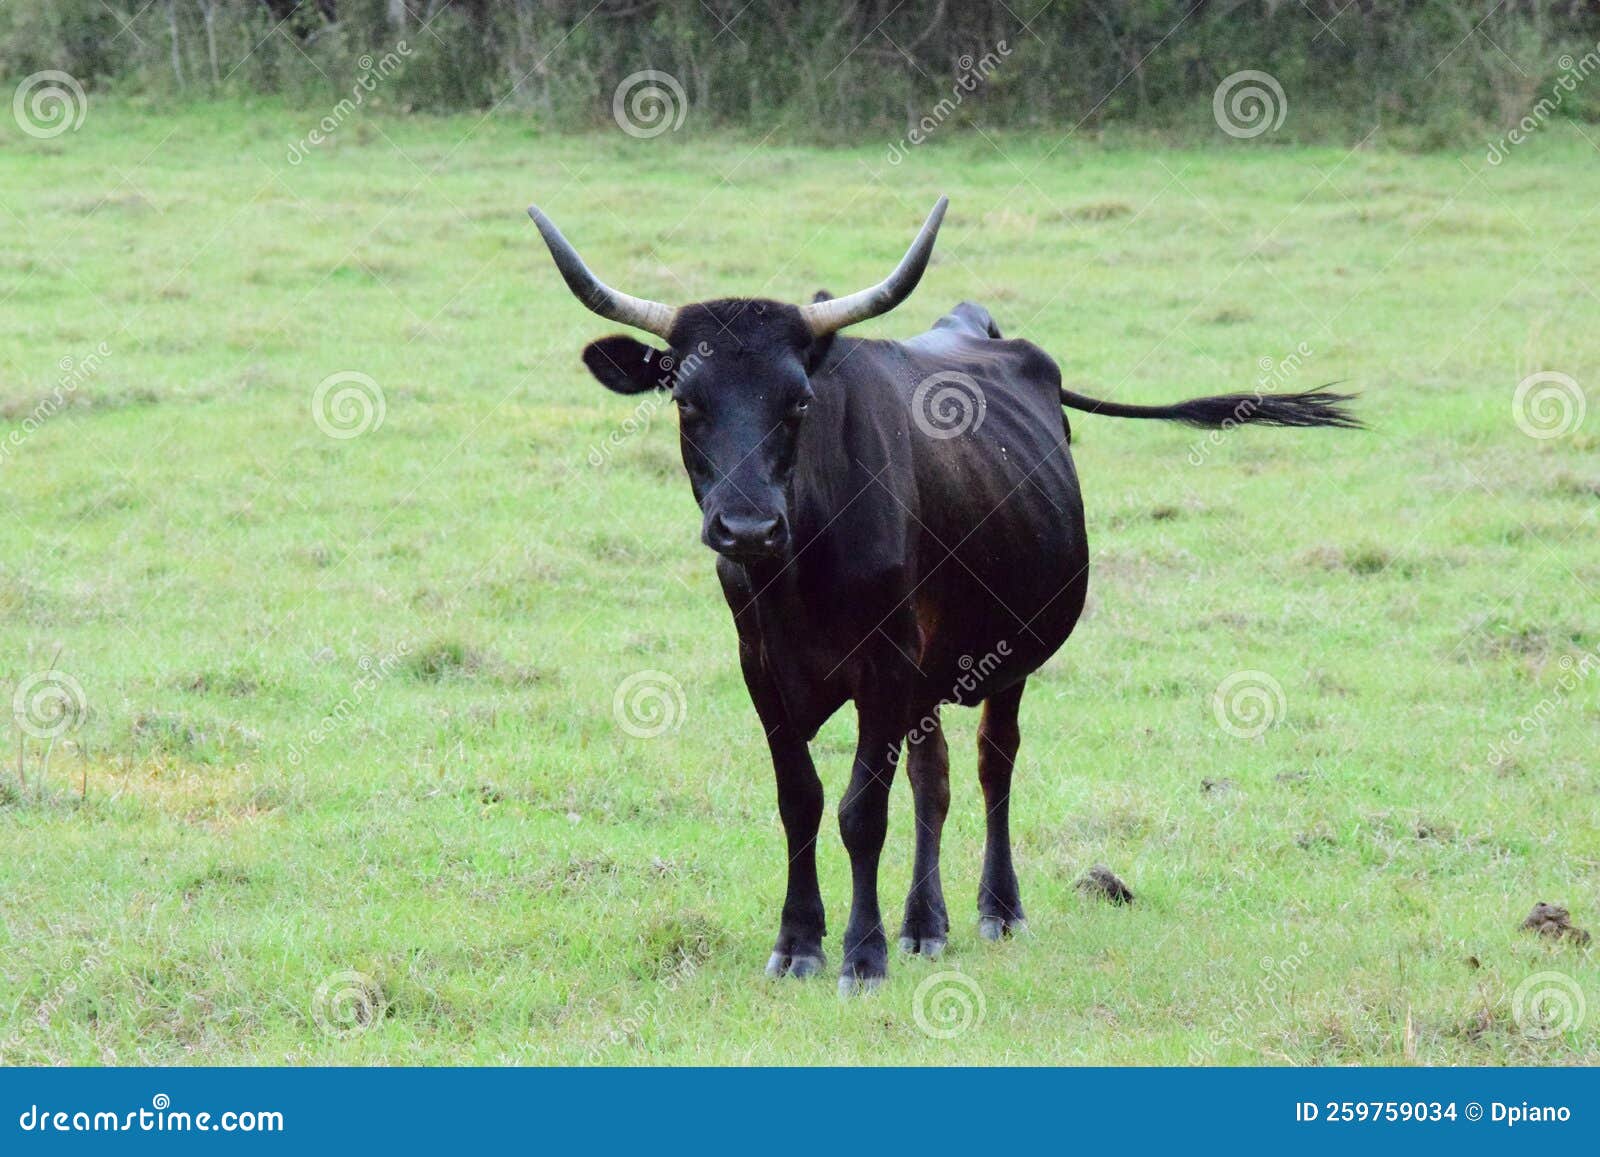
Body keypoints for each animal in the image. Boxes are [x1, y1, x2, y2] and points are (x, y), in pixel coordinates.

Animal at [528, 197, 1359, 992]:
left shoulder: (885, 664)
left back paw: (997, 908)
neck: (797, 570)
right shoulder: (762, 667)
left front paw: (861, 956)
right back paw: (924, 923)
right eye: (685, 401)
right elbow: (801, 799)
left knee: (994, 763)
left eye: (798, 402)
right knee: (936, 780)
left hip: (1004, 657)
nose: (748, 526)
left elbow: (863, 810)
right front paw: (799, 942)